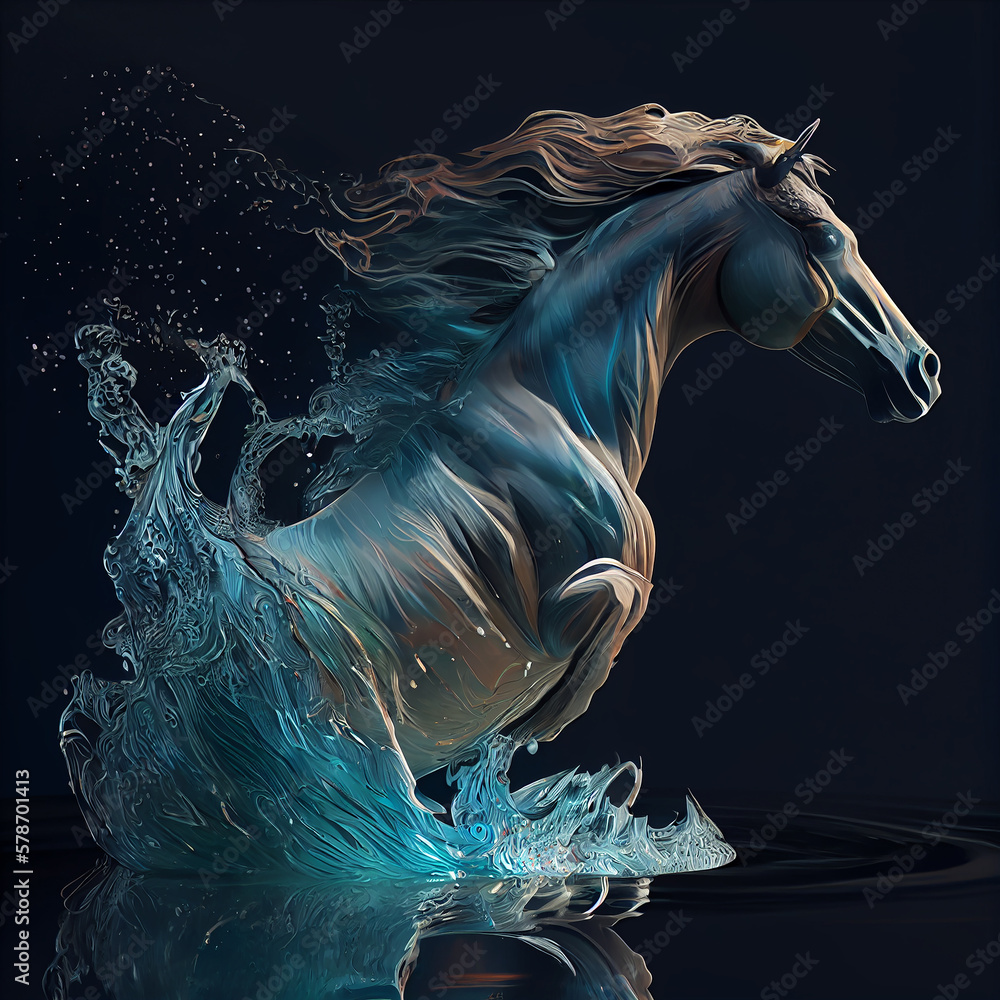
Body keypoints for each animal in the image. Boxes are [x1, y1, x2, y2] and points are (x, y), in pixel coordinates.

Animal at [62, 105, 940, 878]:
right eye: (827, 238)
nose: (922, 370)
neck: (559, 411)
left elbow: (622, 608)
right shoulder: (556, 608)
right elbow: (619, 601)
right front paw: (525, 731)